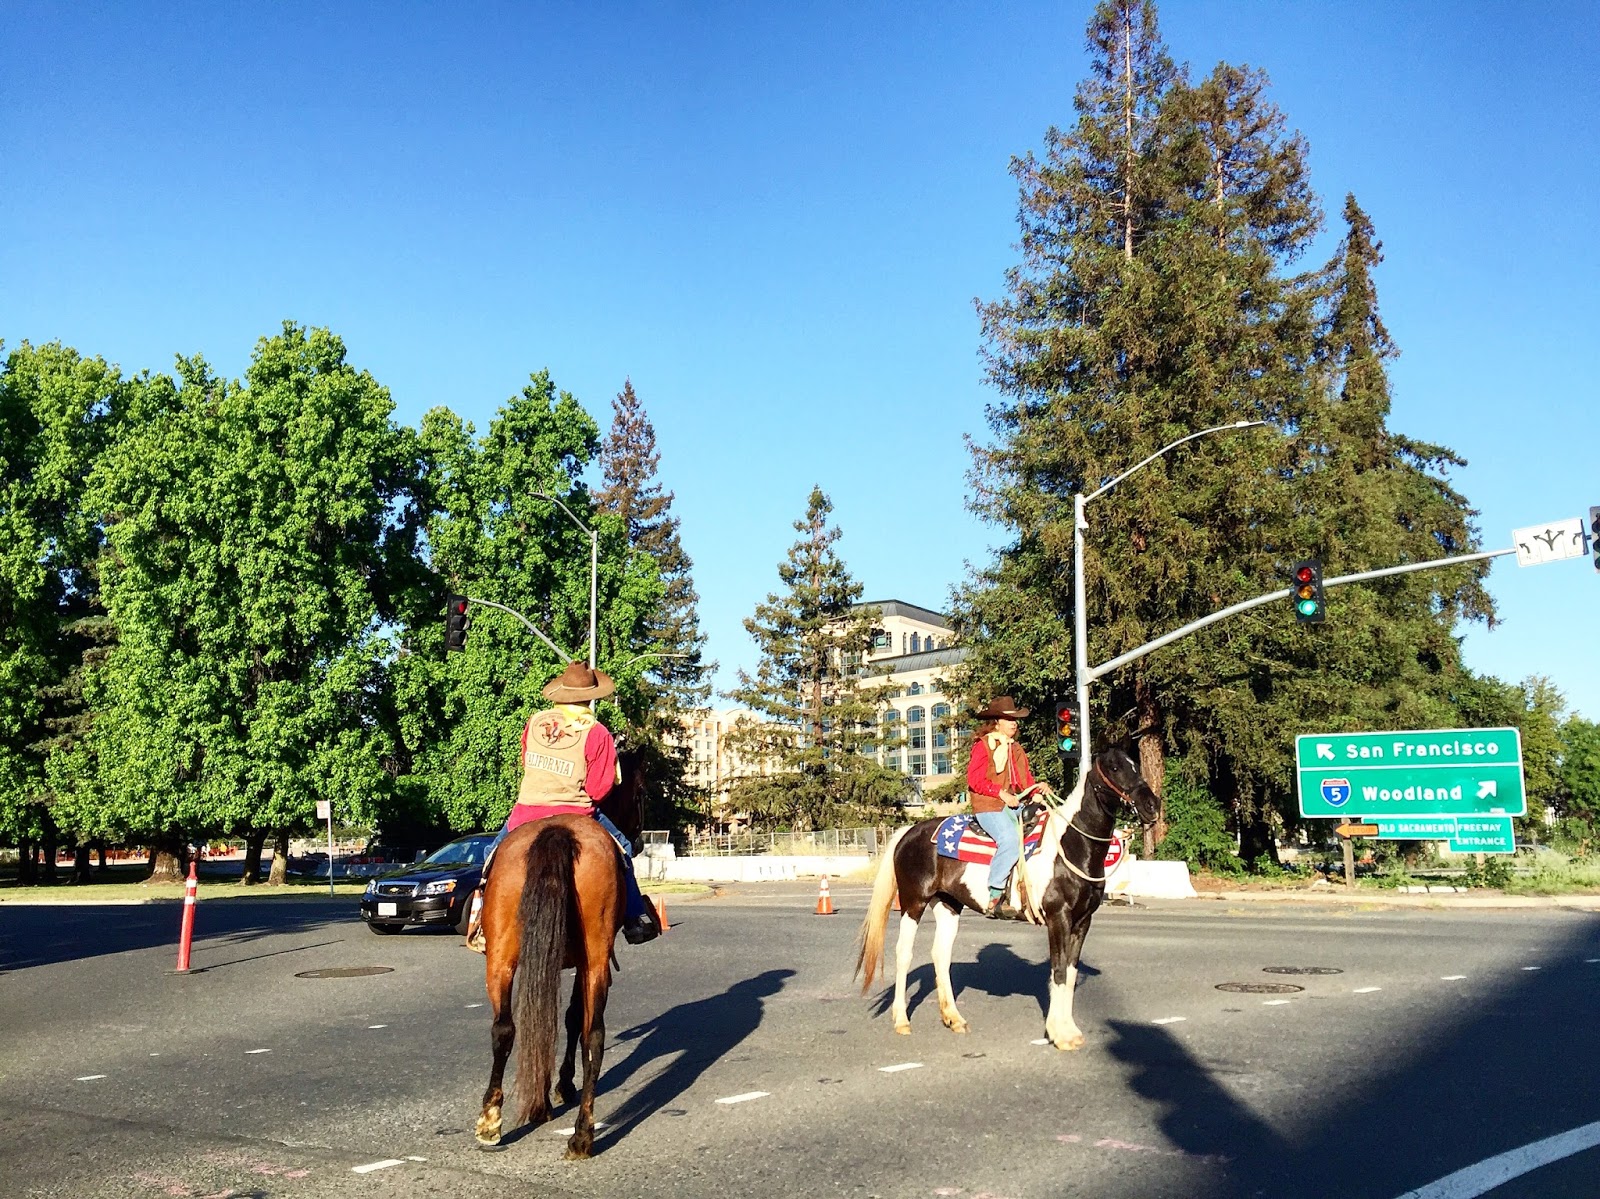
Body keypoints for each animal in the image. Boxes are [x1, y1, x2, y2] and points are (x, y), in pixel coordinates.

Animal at [474, 814, 624, 1158]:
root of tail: (559, 830)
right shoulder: (582, 964)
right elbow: (570, 1019)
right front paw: (561, 1086)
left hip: (501, 959)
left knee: (505, 1029)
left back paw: (492, 1120)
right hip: (594, 960)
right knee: (592, 1035)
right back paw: (581, 1134)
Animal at [855, 746, 1161, 1051]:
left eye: (1136, 764)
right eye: (1114, 767)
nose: (1152, 805)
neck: (1070, 846)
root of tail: (908, 832)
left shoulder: (1082, 921)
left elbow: (1071, 973)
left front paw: (1070, 1030)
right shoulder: (1058, 918)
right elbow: (1058, 971)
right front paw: (1059, 1034)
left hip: (947, 904)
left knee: (941, 954)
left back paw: (954, 1018)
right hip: (913, 902)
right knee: (903, 953)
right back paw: (901, 1020)